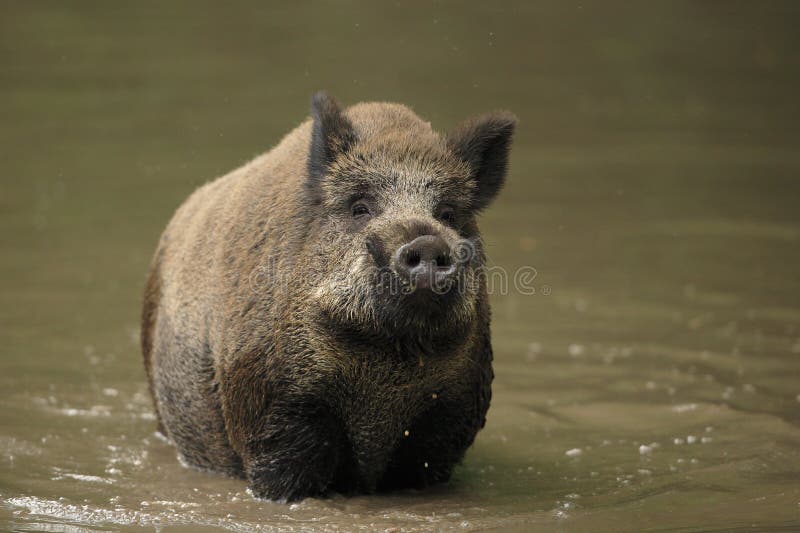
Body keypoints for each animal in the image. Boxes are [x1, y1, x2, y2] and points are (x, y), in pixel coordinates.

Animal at [141, 92, 516, 501]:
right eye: (359, 207)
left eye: (447, 213)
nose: (428, 241)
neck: (387, 362)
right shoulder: (275, 407)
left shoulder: (451, 413)